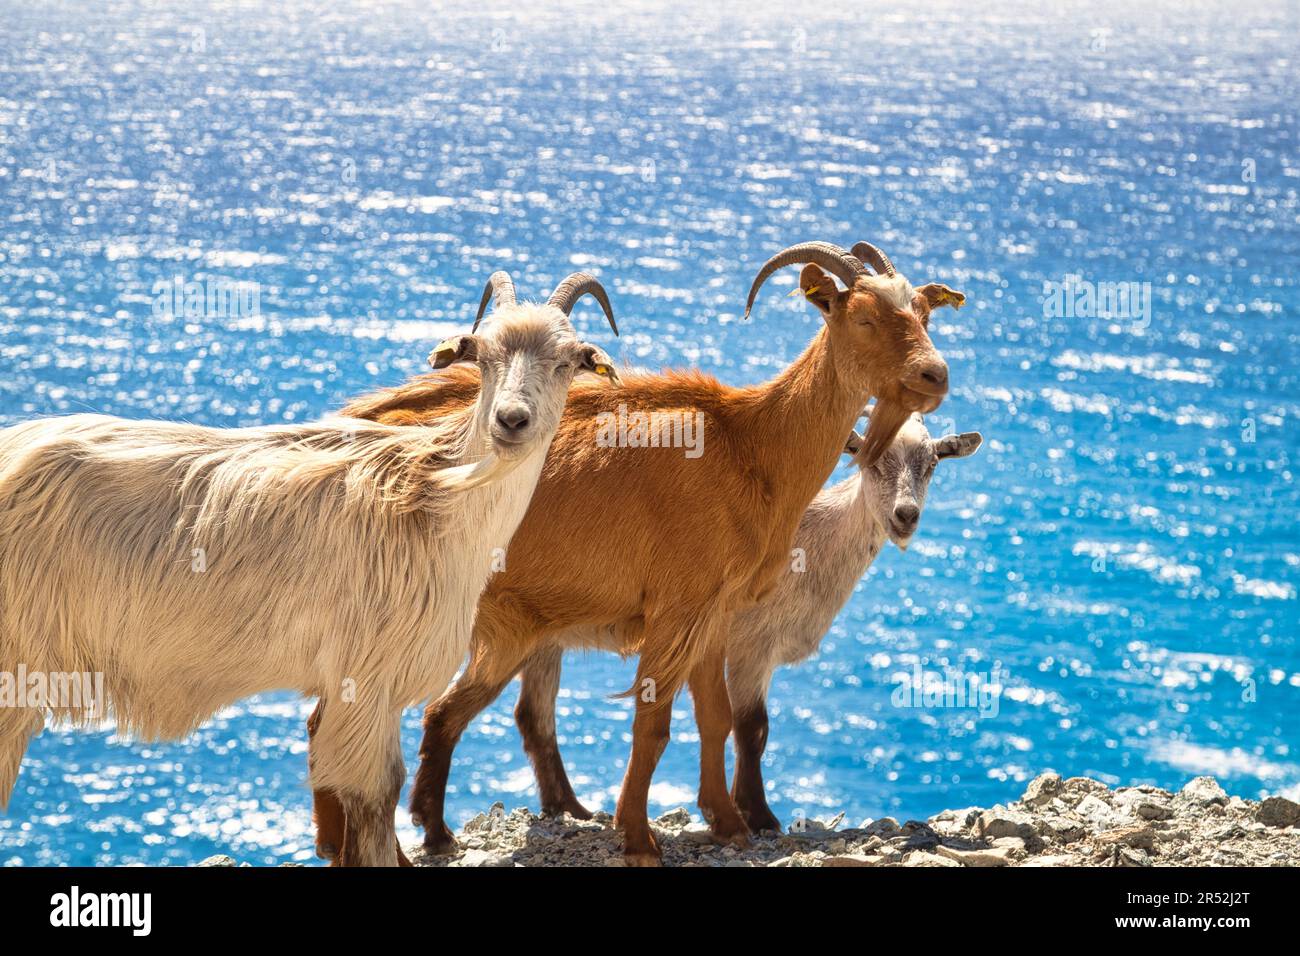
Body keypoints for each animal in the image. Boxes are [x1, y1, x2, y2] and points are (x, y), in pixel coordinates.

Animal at [0, 271, 619, 866]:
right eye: (483, 355)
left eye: (566, 360)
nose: (511, 420)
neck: (432, 497)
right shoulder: (364, 682)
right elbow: (375, 804)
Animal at [499, 413, 982, 834]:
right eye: (871, 458)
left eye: (933, 463)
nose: (906, 516)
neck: (813, 541)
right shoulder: (753, 644)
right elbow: (753, 727)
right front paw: (759, 815)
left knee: (533, 716)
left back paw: (568, 807)